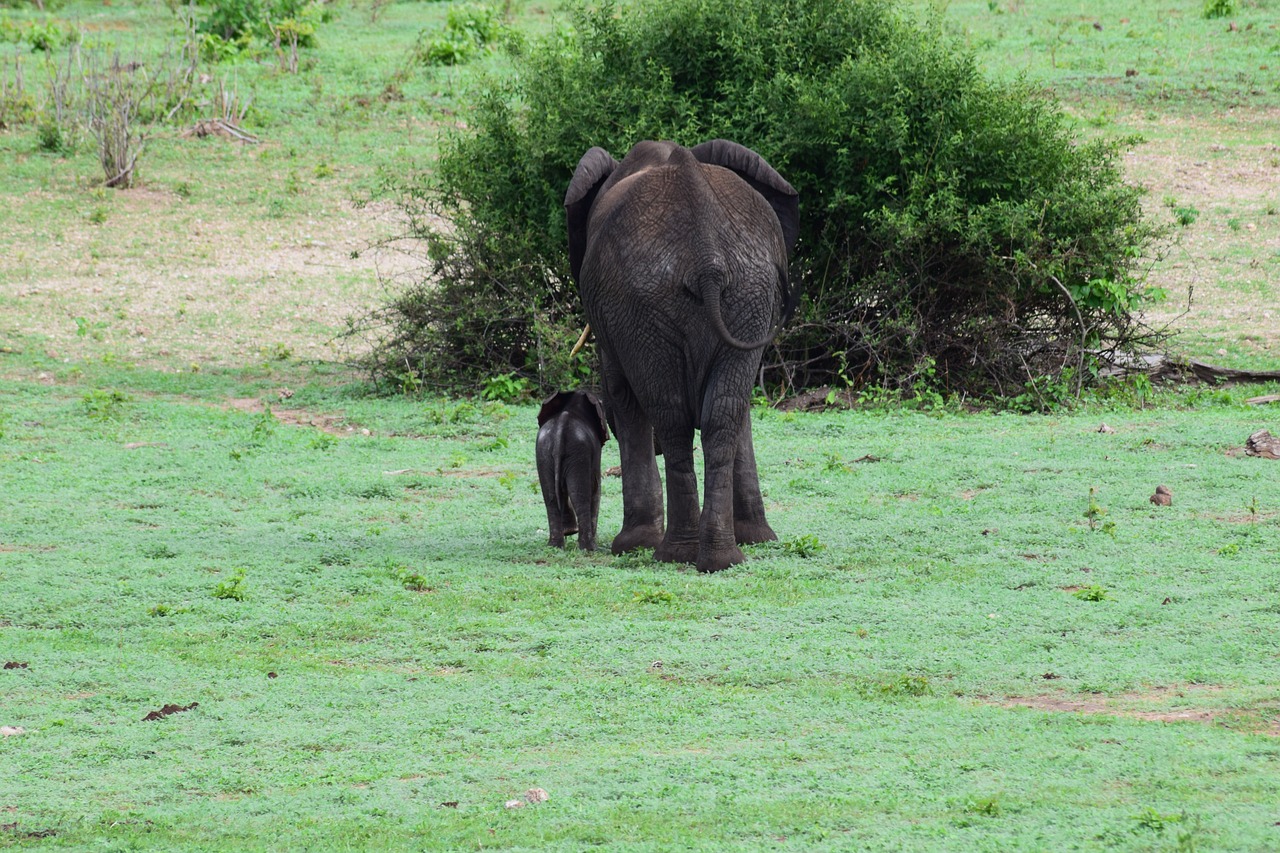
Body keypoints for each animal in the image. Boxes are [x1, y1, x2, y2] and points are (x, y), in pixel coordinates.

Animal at [532, 389, 606, 548]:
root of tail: (561, 427)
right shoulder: (595, 450)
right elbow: (596, 486)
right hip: (578, 451)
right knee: (580, 496)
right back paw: (590, 548)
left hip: (544, 451)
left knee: (551, 497)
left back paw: (555, 545)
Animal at [563, 139, 793, 571]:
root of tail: (707, 257)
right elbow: (737, 408)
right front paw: (756, 538)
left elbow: (621, 394)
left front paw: (630, 546)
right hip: (744, 293)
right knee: (721, 413)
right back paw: (720, 558)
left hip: (643, 304)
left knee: (670, 416)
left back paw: (673, 553)